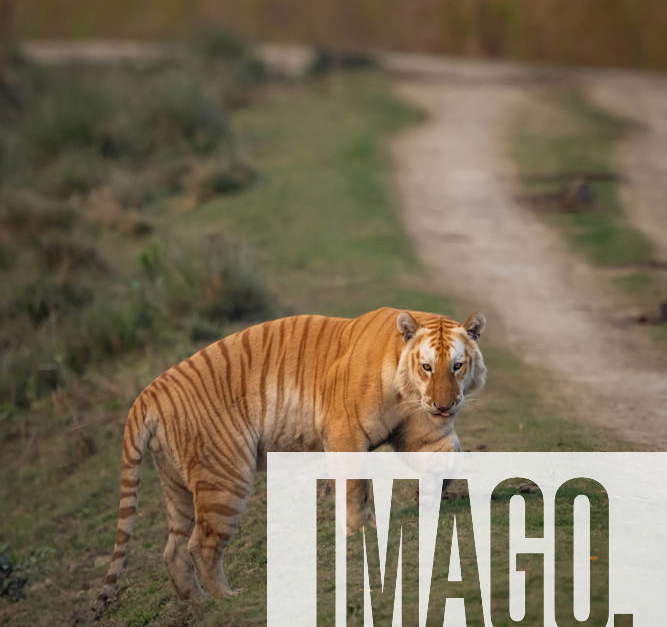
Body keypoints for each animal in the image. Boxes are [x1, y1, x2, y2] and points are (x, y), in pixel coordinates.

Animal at [96, 306, 486, 608]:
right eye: (427, 367)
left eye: (456, 366)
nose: (444, 405)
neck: (410, 394)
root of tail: (150, 391)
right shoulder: (346, 434)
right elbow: (356, 488)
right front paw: (360, 532)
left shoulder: (426, 433)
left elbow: (451, 456)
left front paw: (429, 497)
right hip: (225, 479)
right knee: (201, 545)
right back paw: (226, 597)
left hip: (176, 485)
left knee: (174, 549)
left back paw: (198, 602)